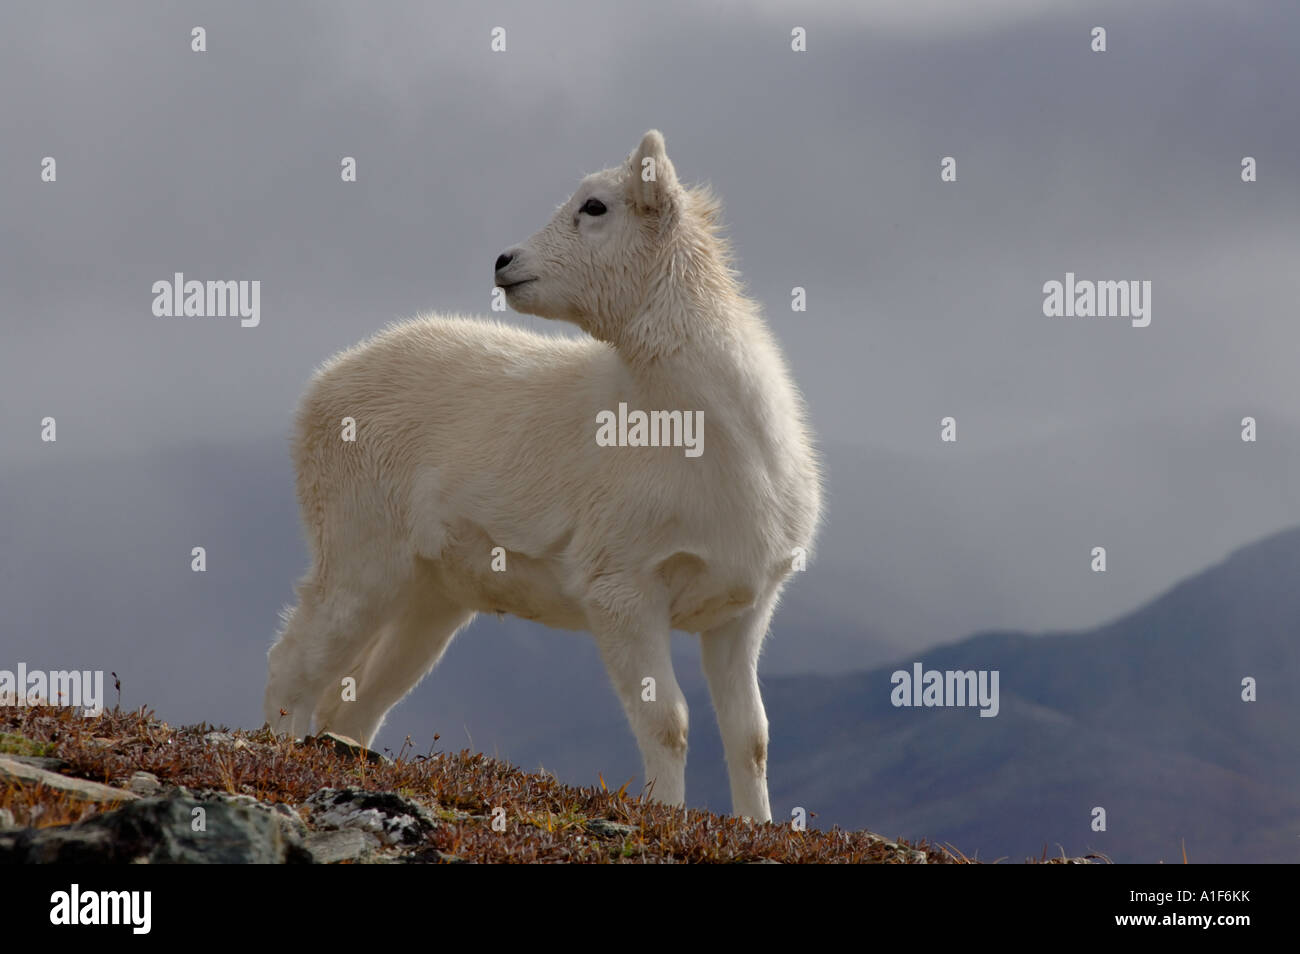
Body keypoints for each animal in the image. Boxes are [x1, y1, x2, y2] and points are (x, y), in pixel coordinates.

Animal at [263, 131, 822, 822]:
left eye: (595, 206)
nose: (505, 262)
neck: (707, 443)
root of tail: (322, 387)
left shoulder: (741, 614)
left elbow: (751, 738)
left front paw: (757, 825)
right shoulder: (623, 595)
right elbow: (668, 723)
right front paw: (666, 818)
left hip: (430, 603)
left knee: (357, 702)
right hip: (361, 564)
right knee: (292, 665)